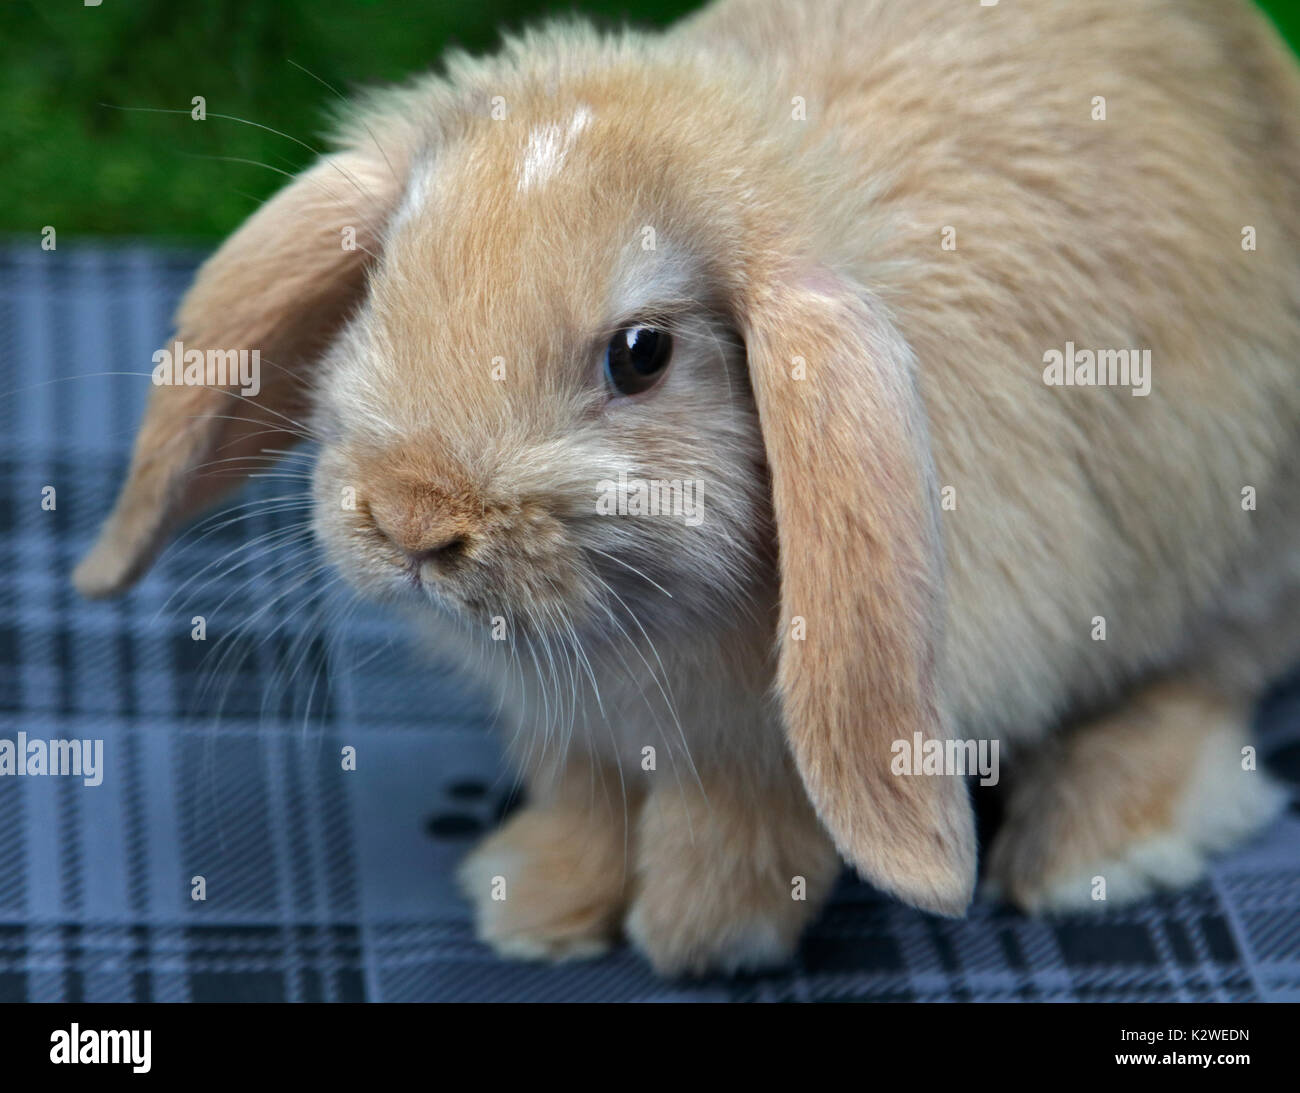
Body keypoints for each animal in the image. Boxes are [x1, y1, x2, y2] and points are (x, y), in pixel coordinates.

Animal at [74, 0, 1300, 976]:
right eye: (380, 281)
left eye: (642, 354)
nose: (414, 520)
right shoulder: (569, 732)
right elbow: (583, 798)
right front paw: (531, 907)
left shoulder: (770, 746)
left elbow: (742, 816)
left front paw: (696, 932)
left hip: (1232, 553)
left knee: (1201, 680)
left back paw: (1100, 846)